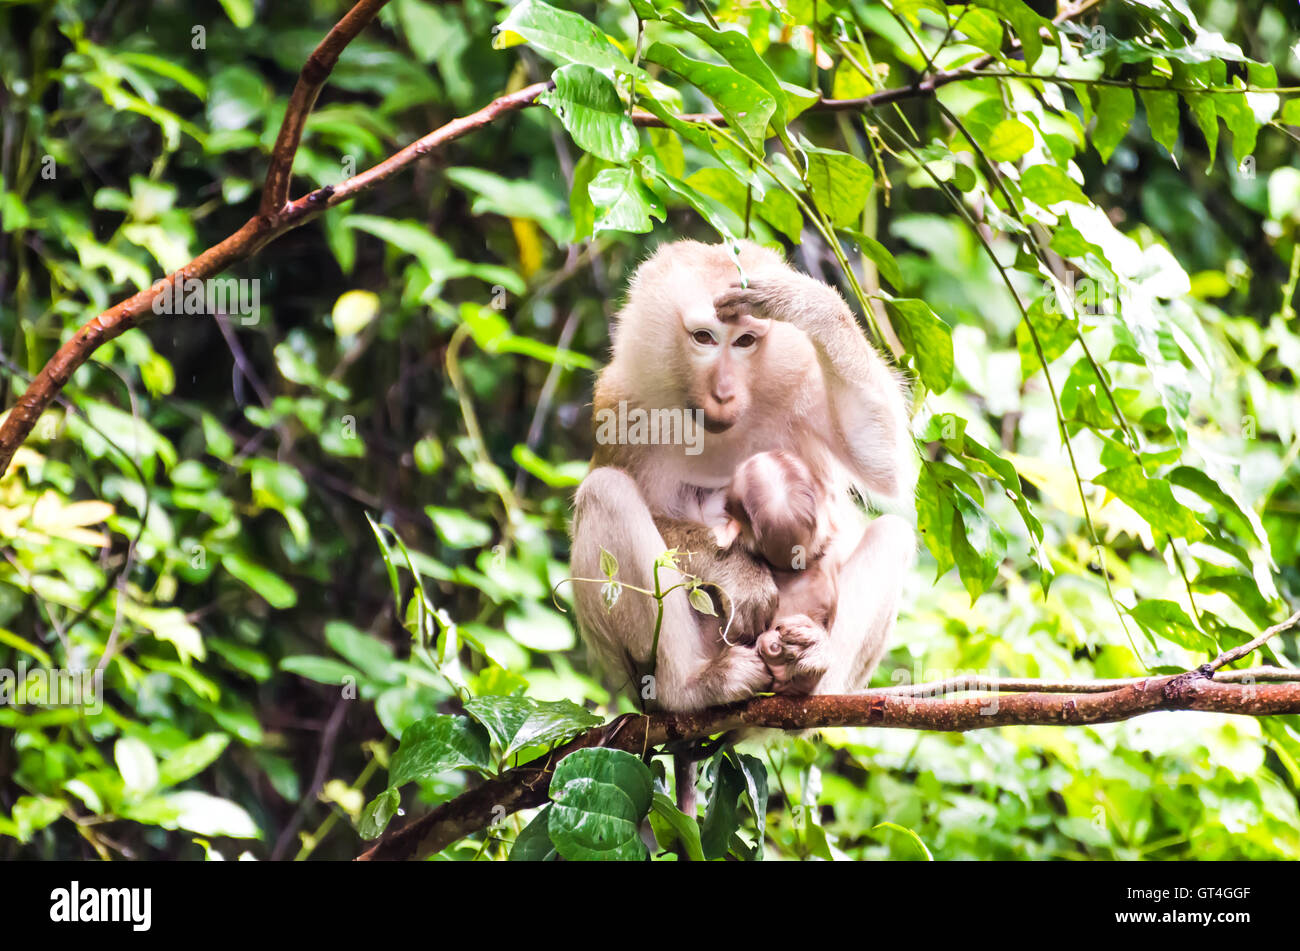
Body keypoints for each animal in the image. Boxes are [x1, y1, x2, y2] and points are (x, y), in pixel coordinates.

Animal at [570, 239, 916, 712]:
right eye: (704, 338)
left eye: (745, 341)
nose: (723, 393)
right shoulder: (620, 404)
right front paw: (737, 572)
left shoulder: (805, 385)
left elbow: (884, 461)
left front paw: (804, 301)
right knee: (605, 491)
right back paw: (690, 688)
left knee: (893, 535)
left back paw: (811, 676)